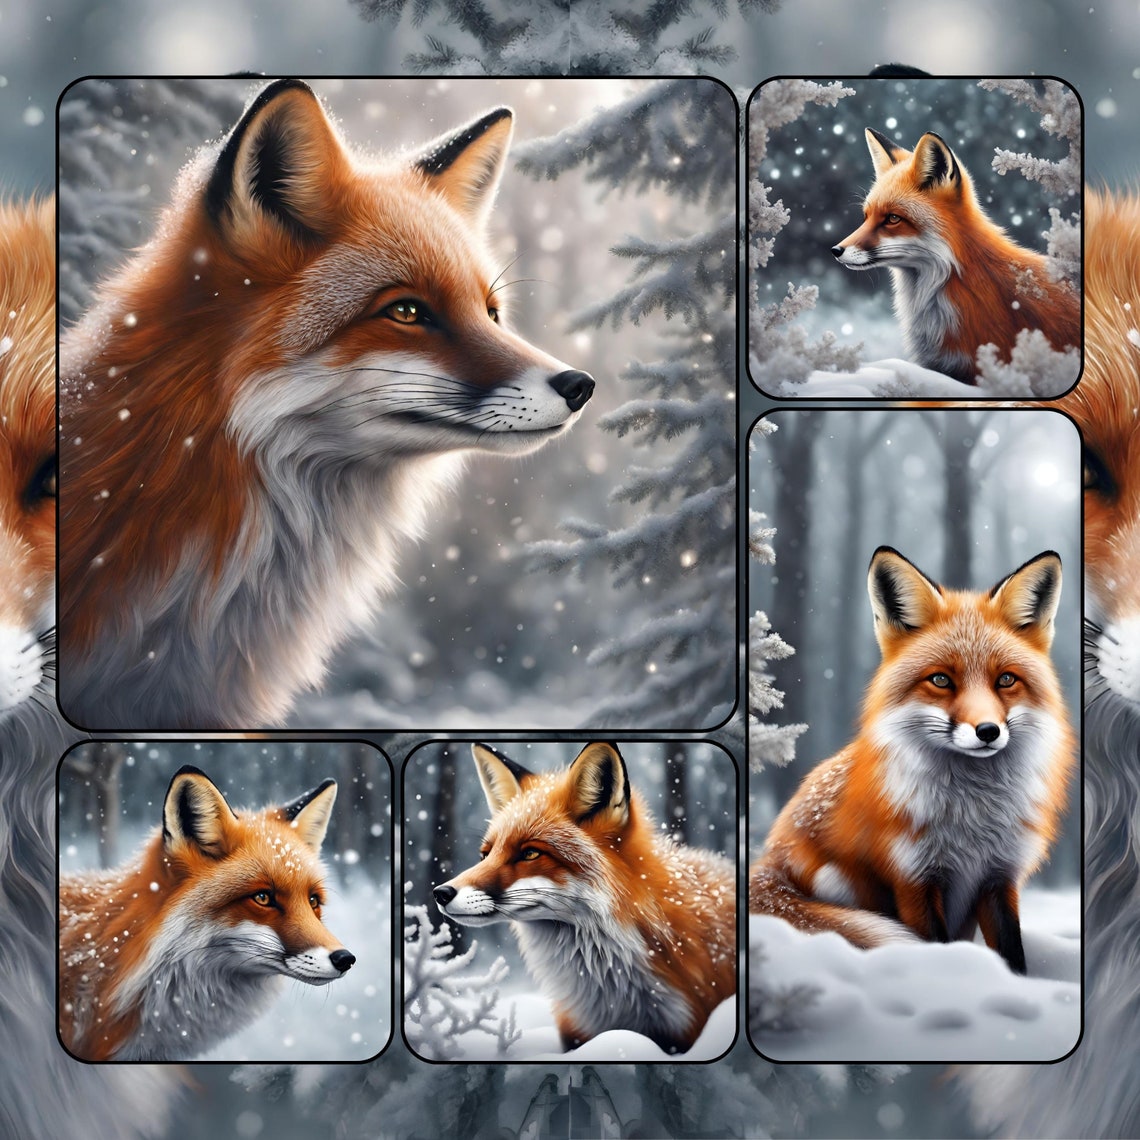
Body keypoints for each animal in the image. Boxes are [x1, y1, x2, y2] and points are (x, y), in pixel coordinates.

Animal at [749, 546, 1076, 974]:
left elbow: (1013, 956)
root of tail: (765, 862)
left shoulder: (999, 879)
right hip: (833, 878)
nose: (988, 731)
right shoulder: (913, 879)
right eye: (941, 680)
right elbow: (935, 946)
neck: (973, 818)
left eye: (1006, 680)